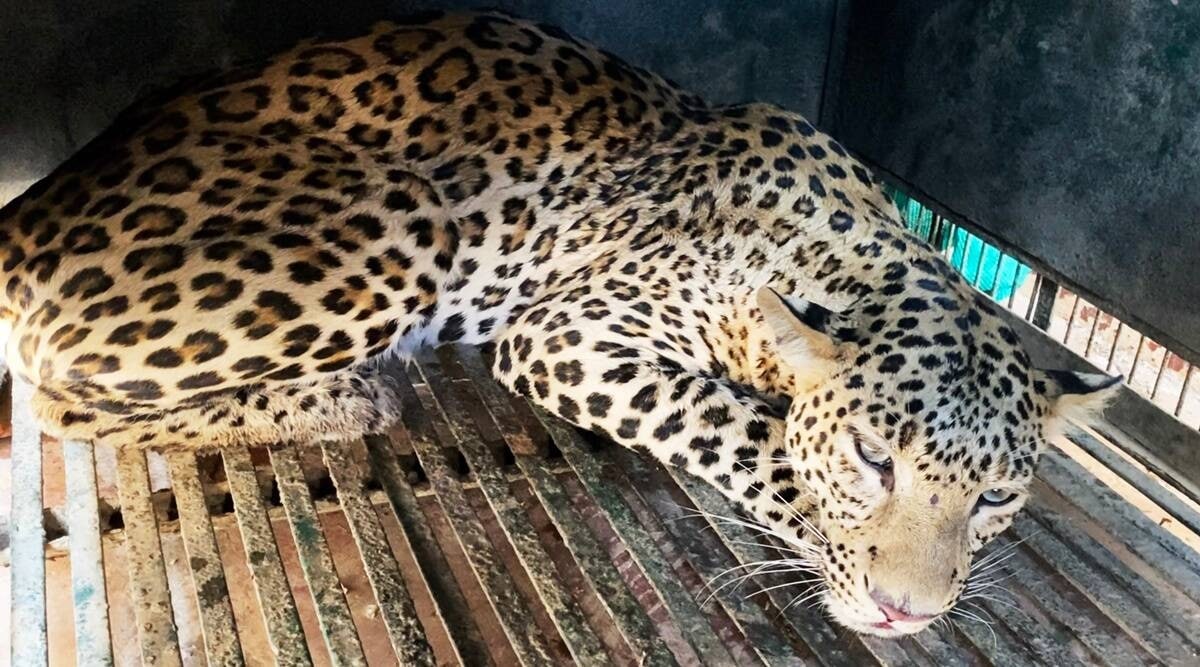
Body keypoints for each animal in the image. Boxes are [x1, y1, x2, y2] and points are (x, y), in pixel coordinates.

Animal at [0, 9, 1118, 636]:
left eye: (997, 497)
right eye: (872, 460)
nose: (908, 612)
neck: (845, 245)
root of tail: (31, 205)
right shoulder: (567, 329)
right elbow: (738, 428)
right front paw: (825, 542)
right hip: (403, 222)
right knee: (56, 393)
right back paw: (345, 397)